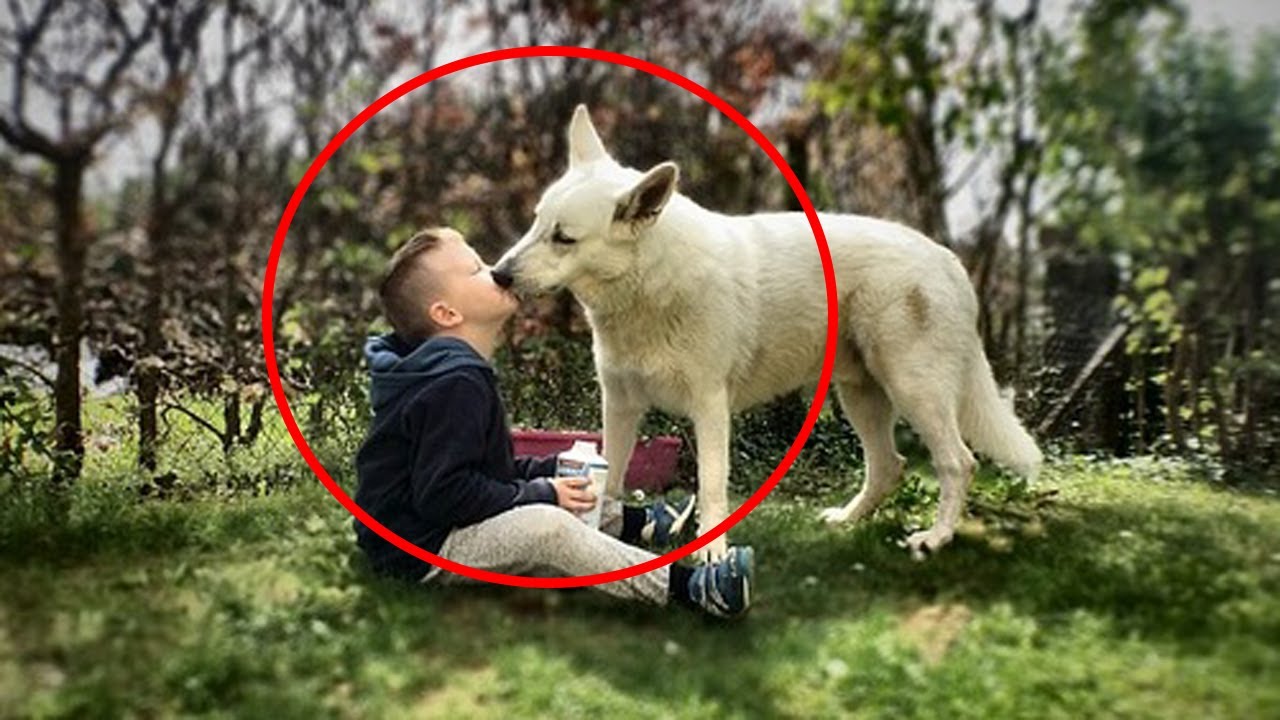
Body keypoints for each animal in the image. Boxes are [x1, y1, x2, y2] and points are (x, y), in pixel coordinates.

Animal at [492, 106, 1043, 561]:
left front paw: (711, 554)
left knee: (958, 462)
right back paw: (847, 521)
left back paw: (934, 538)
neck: (650, 285)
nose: (499, 274)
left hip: (913, 391)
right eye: (537, 223)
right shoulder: (621, 403)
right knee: (891, 466)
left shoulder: (709, 407)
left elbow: (713, 487)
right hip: (860, 395)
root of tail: (948, 259)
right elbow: (612, 478)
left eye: (564, 238)